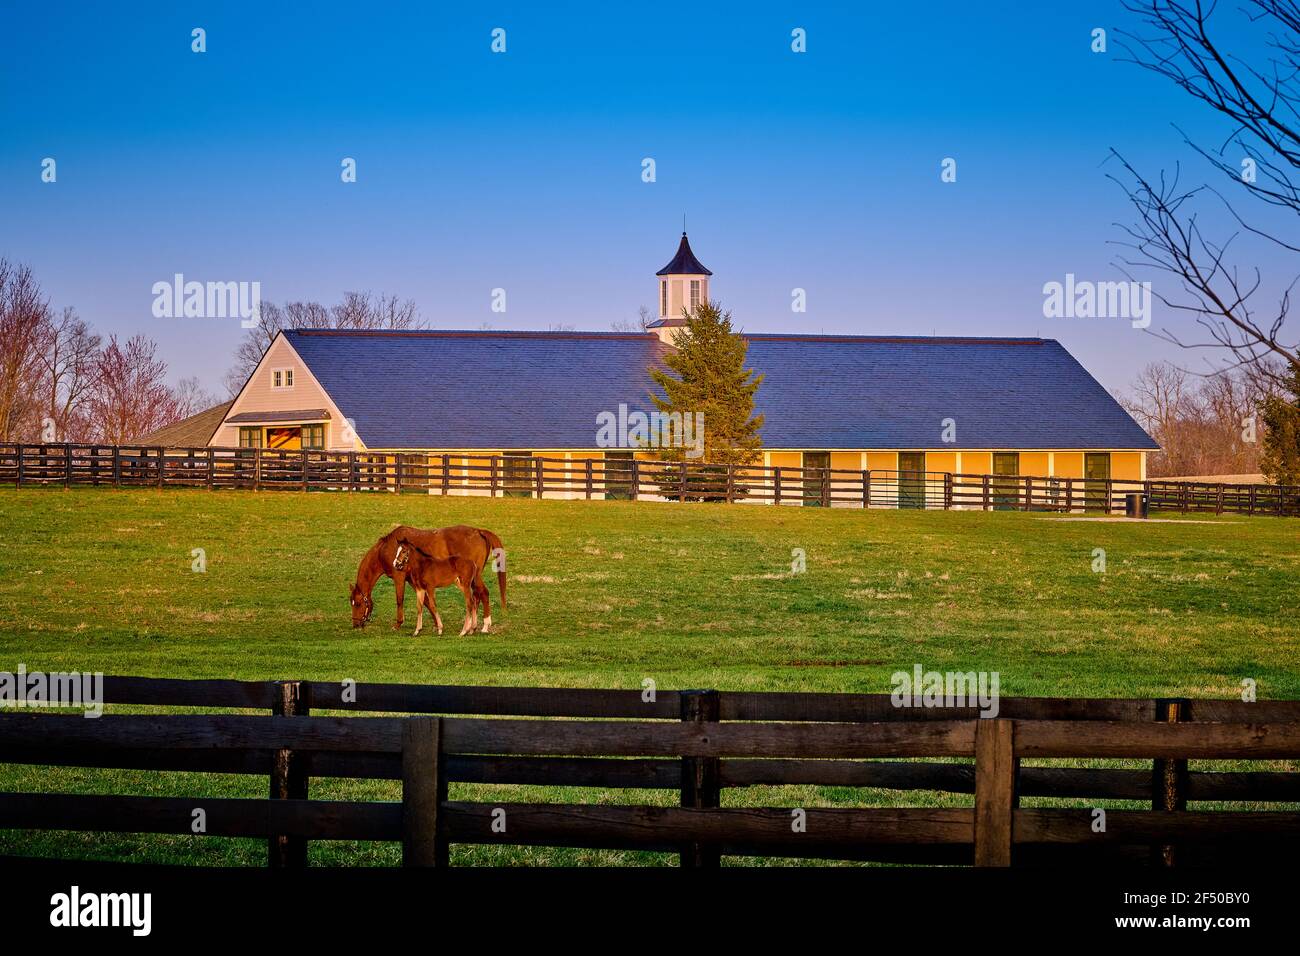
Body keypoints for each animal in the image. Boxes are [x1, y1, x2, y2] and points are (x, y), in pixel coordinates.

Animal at [349, 525, 507, 629]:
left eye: (358, 603)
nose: (356, 624)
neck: (386, 549)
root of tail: (479, 531)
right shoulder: (413, 580)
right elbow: (425, 601)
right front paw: (437, 624)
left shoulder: (399, 577)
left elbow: (400, 599)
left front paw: (398, 623)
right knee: (476, 596)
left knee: (483, 593)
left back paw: (485, 626)